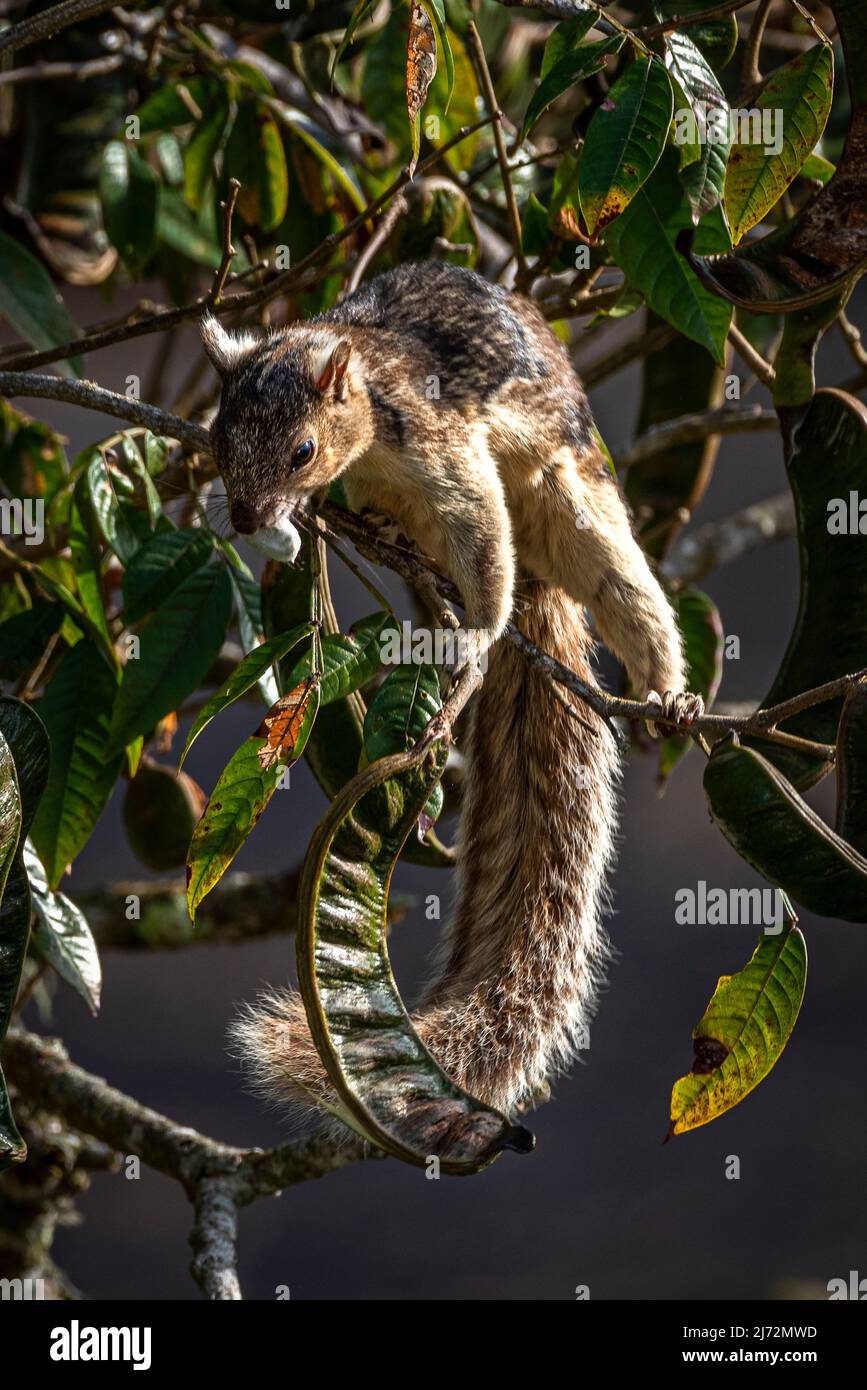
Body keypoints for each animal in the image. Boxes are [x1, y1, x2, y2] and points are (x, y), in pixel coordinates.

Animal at [201, 261, 702, 1123]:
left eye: (302, 450)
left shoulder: (443, 445)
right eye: (214, 437)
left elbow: (482, 528)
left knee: (613, 583)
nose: (242, 515)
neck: (367, 409)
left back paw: (663, 690)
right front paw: (293, 528)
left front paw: (481, 631)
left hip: (565, 499)